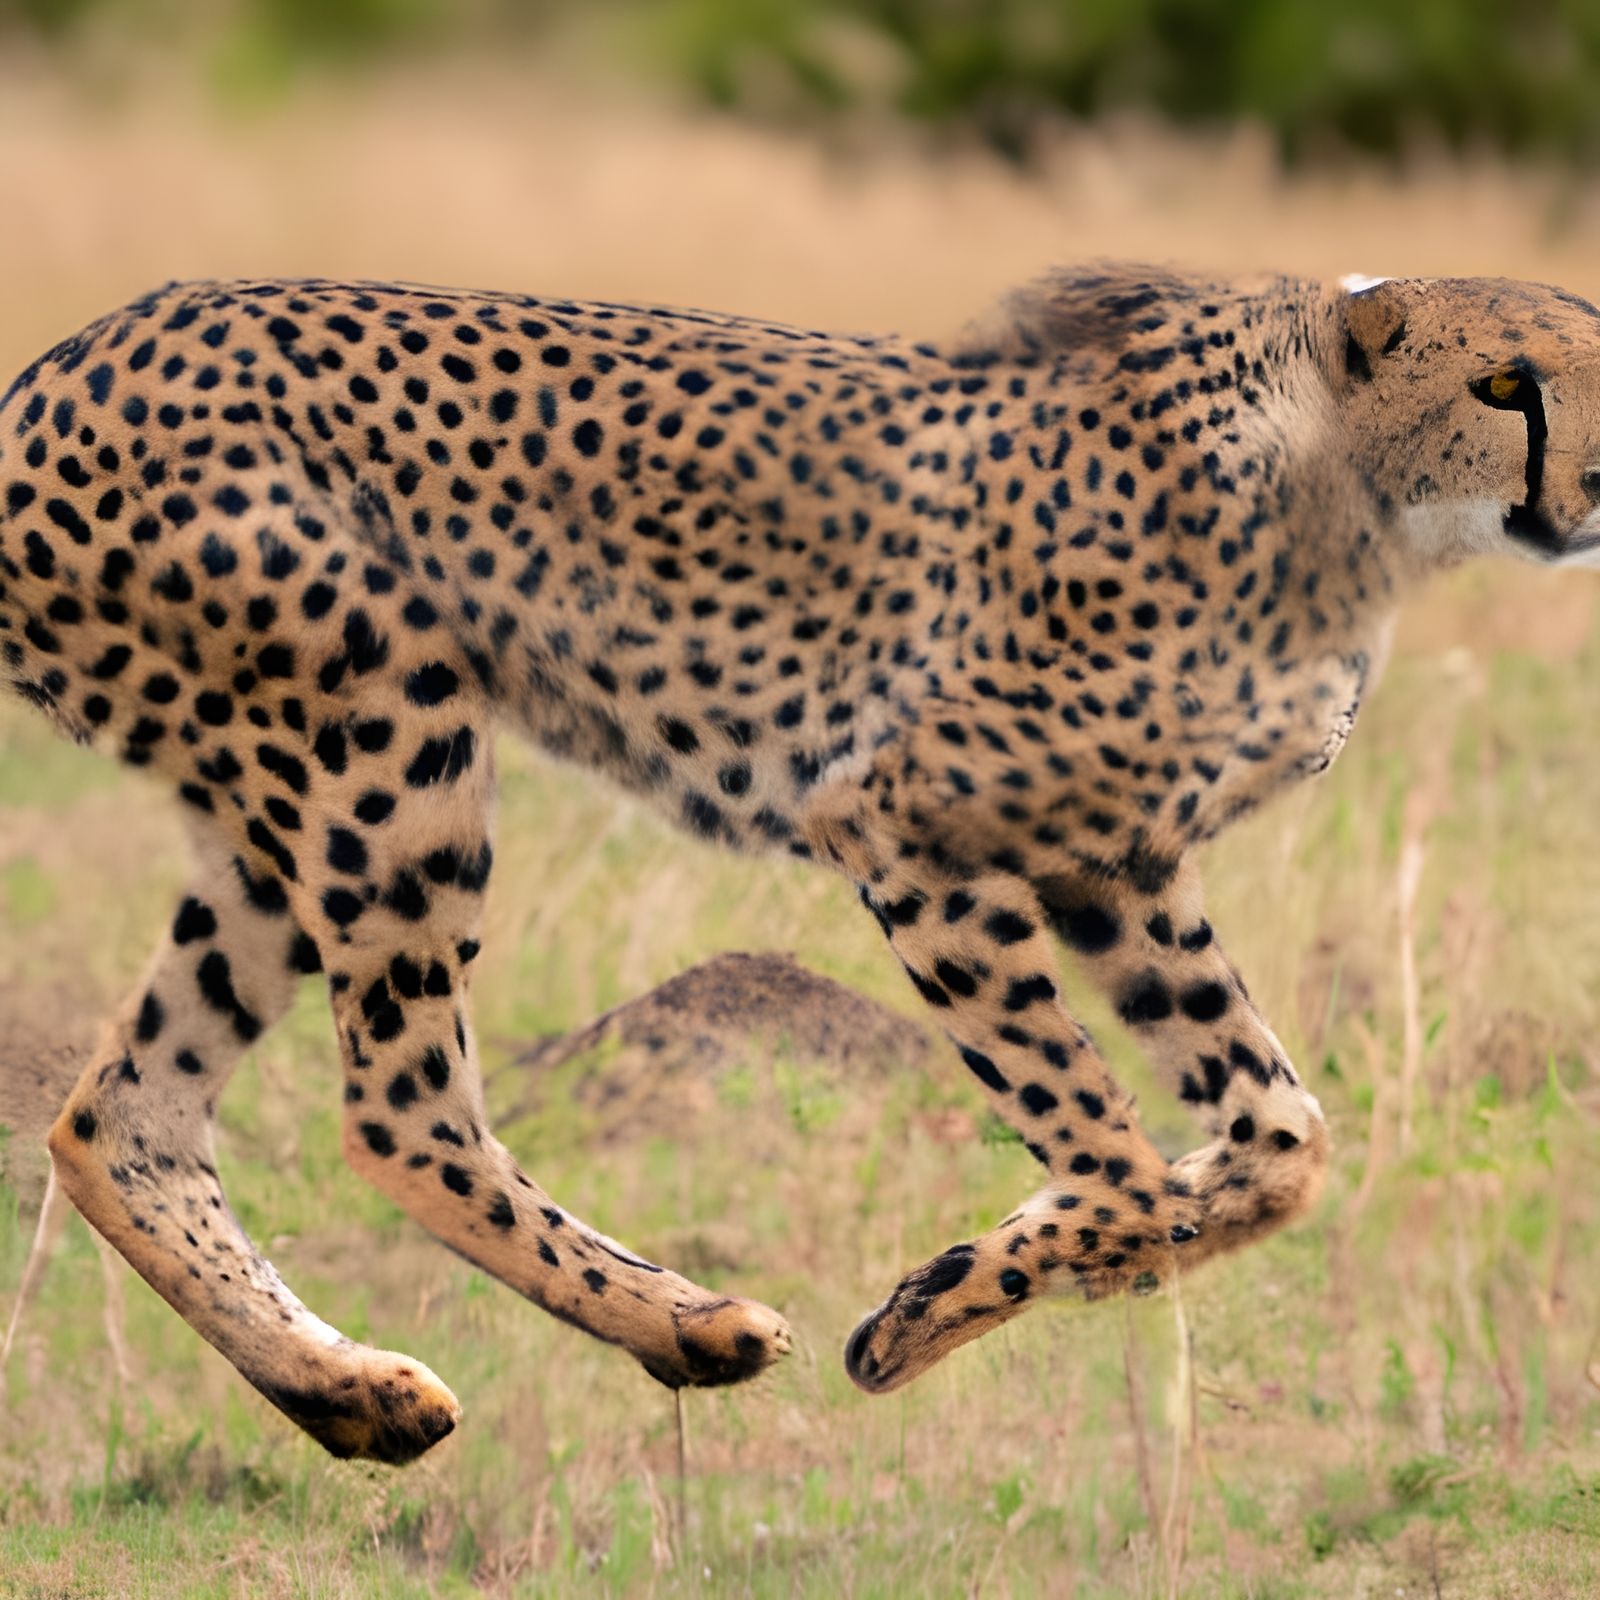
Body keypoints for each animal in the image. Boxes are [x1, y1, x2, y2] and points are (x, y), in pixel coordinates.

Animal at [3, 262, 1598, 1465]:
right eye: (1502, 385)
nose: (1588, 490)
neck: (1352, 491)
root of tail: (75, 354)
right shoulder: (905, 819)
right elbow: (1121, 1155)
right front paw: (959, 1299)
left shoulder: (1118, 863)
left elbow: (1282, 1140)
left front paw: (950, 1289)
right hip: (384, 738)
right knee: (400, 1109)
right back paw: (683, 1325)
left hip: (275, 822)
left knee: (119, 1115)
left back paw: (354, 1395)